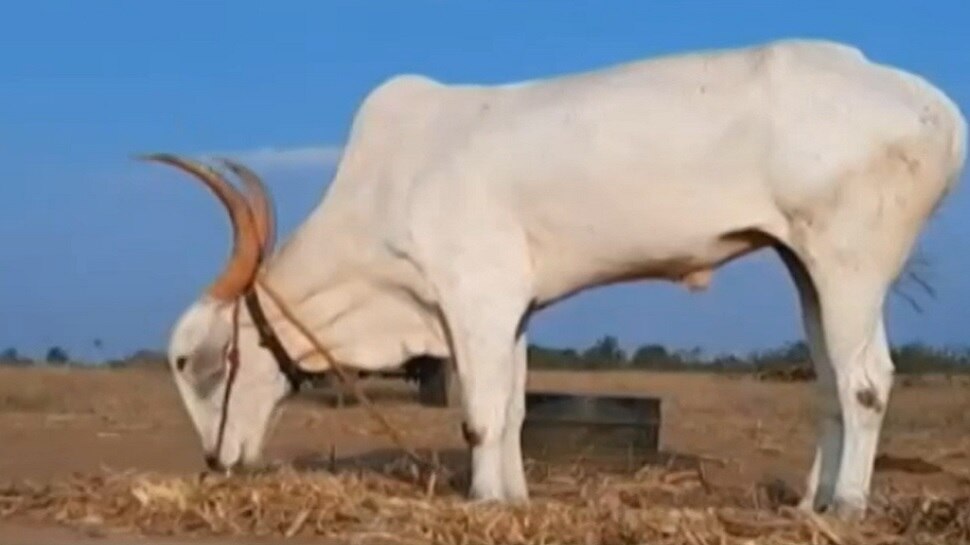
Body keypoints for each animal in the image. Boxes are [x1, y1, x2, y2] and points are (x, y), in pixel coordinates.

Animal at [140, 38, 966, 518]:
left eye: (195, 361)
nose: (216, 462)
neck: (388, 184)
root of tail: (937, 109)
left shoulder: (473, 297)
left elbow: (478, 414)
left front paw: (479, 499)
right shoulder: (512, 309)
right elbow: (508, 410)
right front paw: (510, 497)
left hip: (850, 262)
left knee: (867, 381)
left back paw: (848, 506)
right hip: (808, 269)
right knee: (831, 383)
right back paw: (807, 505)